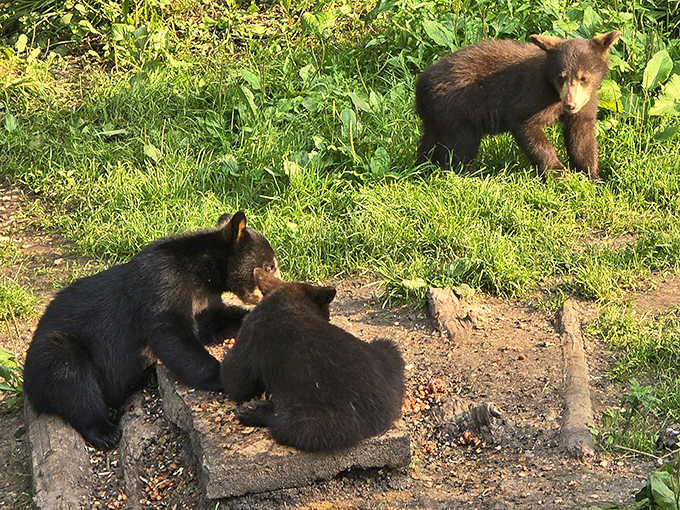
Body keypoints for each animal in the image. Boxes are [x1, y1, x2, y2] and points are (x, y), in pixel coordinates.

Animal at [23, 212, 279, 450]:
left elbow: (215, 321)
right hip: (56, 350)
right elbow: (170, 333)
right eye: (270, 266)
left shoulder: (204, 298)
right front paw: (222, 375)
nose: (273, 286)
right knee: (72, 381)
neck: (202, 271)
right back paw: (105, 432)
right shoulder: (163, 282)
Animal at [220, 269, 405, 452]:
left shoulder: (247, 338)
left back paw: (252, 411)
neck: (286, 301)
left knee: (284, 424)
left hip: (317, 421)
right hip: (387, 351)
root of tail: (385, 413)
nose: (329, 318)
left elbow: (235, 381)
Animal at [415, 31, 621, 181]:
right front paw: (558, 172)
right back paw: (465, 174)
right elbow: (526, 125)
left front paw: (594, 176)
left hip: (438, 115)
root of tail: (421, 82)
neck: (554, 93)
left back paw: (424, 167)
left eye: (583, 78)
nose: (570, 104)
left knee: (431, 142)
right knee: (461, 146)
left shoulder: (587, 101)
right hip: (457, 109)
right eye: (561, 77)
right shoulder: (533, 94)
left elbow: (582, 137)